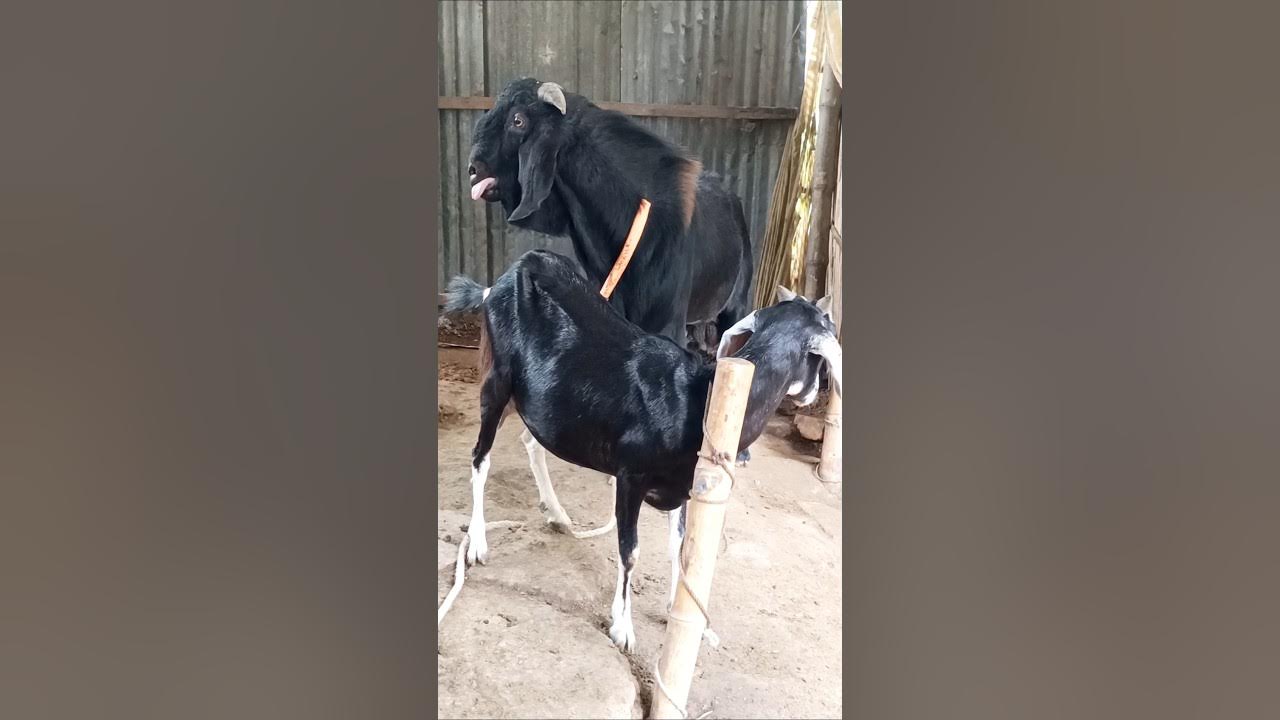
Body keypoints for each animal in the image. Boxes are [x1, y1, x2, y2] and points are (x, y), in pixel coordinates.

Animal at [443, 249, 840, 653]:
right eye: (818, 357)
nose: (812, 396)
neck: (698, 399)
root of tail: (503, 279)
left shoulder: (684, 487)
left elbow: (679, 548)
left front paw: (682, 615)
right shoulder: (630, 477)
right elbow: (630, 549)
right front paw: (623, 628)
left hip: (538, 401)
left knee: (530, 441)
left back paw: (556, 514)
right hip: (497, 381)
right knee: (480, 458)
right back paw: (478, 543)